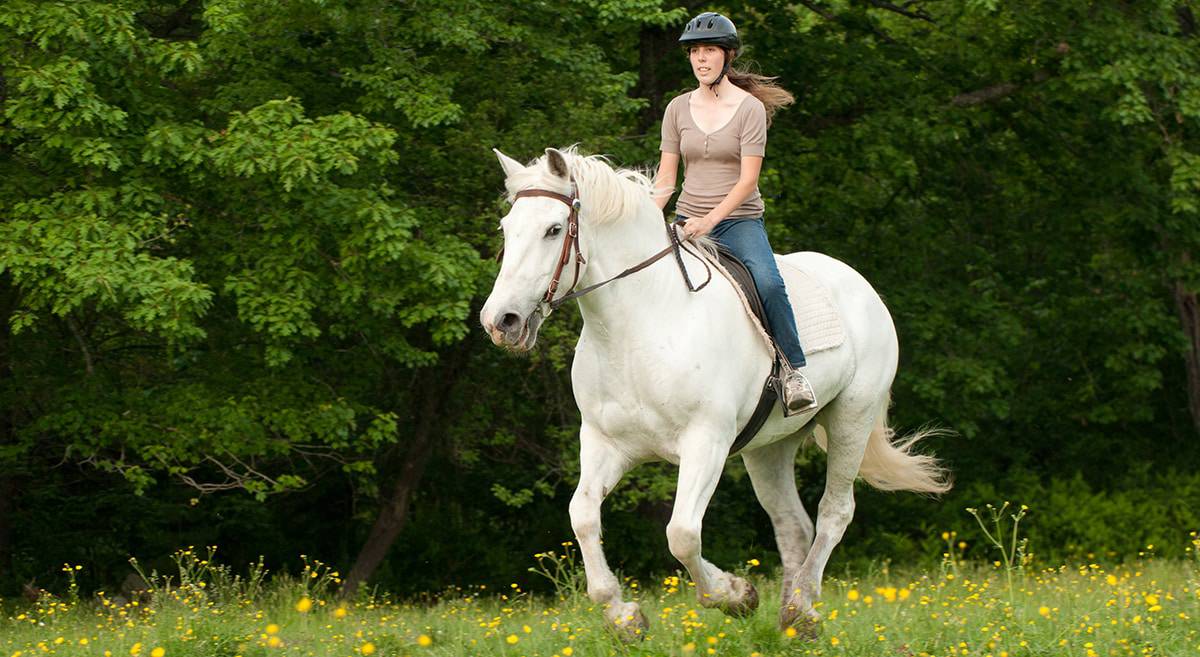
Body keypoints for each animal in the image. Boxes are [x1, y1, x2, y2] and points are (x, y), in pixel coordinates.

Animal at [480, 146, 950, 638]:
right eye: (507, 228)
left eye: (554, 230)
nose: (501, 321)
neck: (640, 322)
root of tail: (860, 285)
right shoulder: (604, 443)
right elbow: (584, 516)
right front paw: (624, 616)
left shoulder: (706, 442)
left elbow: (682, 534)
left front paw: (734, 595)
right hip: (769, 447)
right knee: (792, 525)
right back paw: (788, 620)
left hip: (851, 420)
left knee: (834, 512)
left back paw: (803, 608)